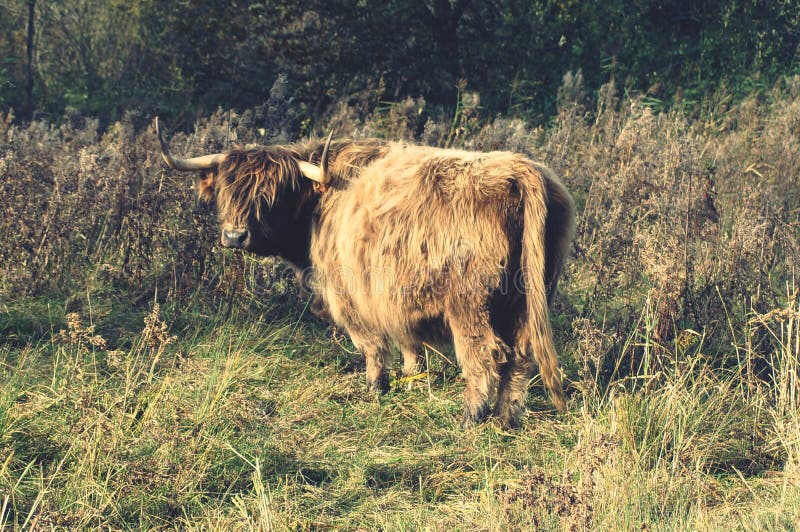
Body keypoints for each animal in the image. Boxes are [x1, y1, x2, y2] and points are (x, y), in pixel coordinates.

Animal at [155, 117, 575, 429]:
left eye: (270, 195)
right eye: (227, 192)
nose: (234, 235)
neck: (320, 201)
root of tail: (520, 170)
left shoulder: (349, 293)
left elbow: (371, 345)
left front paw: (376, 386)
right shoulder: (395, 301)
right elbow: (408, 344)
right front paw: (411, 377)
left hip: (469, 303)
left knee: (485, 353)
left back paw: (470, 416)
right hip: (529, 295)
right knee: (520, 355)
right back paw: (507, 418)